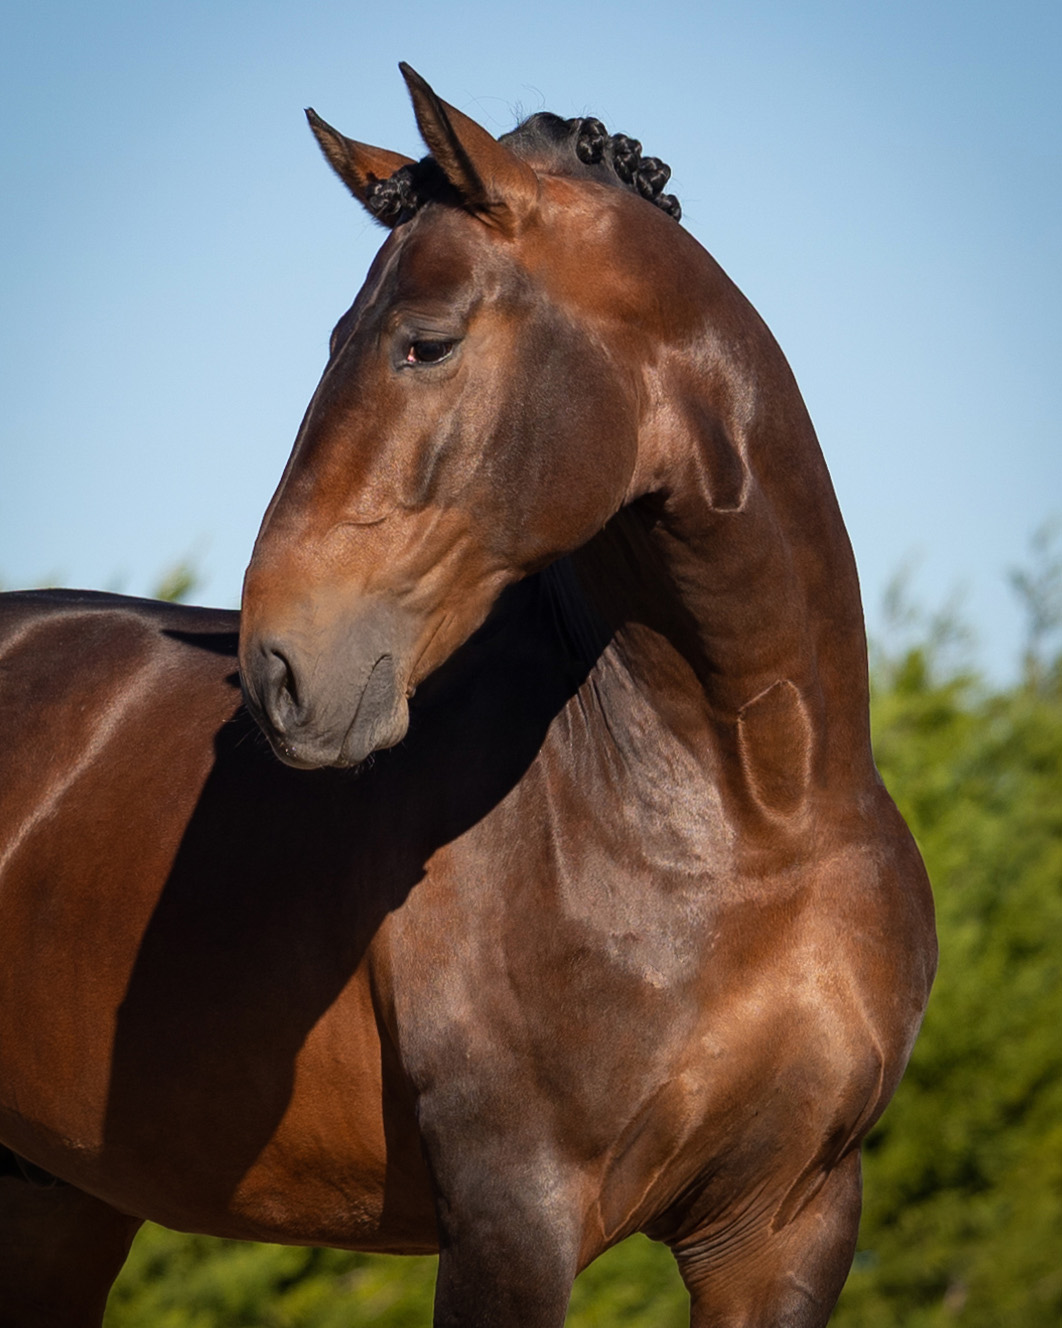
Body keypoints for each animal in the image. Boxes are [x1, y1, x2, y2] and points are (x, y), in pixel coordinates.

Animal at [0, 65, 935, 1327]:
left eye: (426, 343)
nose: (279, 668)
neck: (755, 817)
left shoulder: (788, 1226)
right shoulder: (512, 1217)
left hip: (57, 1200)